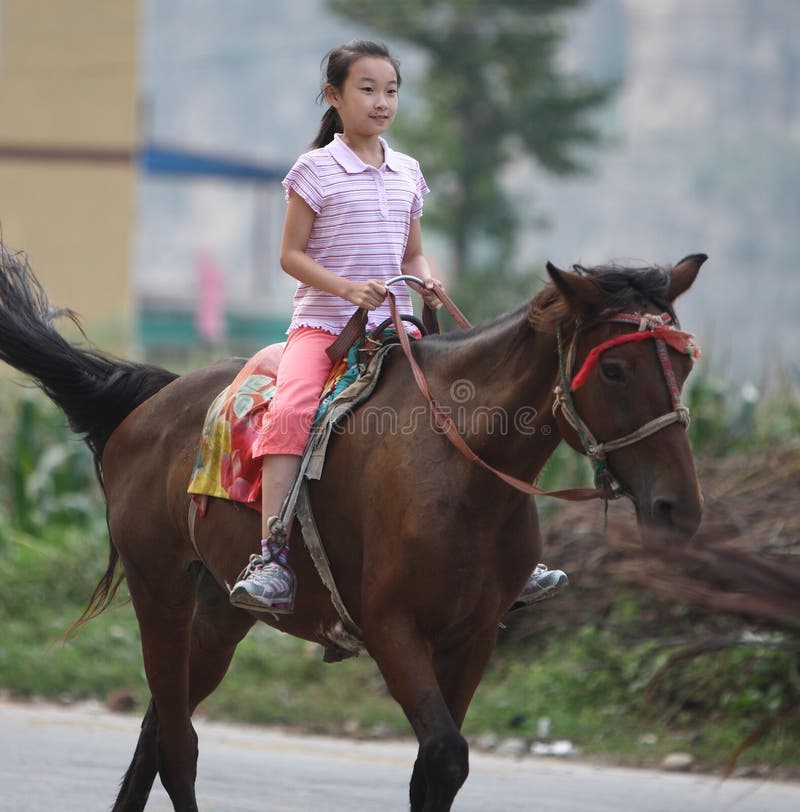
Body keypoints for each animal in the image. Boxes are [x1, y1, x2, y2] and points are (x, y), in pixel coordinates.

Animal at [0, 245, 705, 811]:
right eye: (613, 369)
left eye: (685, 368)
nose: (680, 508)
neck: (459, 468)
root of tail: (151, 401)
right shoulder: (391, 627)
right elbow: (445, 754)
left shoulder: (474, 636)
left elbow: (434, 772)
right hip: (160, 592)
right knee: (176, 744)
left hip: (218, 613)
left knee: (155, 734)